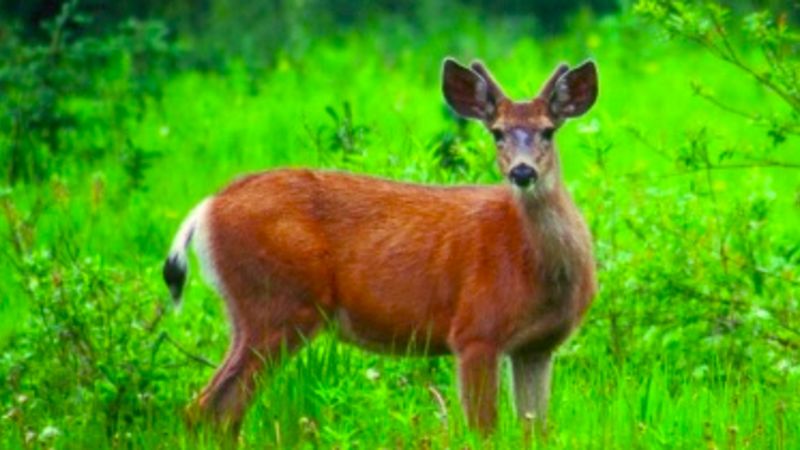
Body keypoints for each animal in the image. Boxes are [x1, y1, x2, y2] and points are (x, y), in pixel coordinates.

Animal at [163, 57, 598, 437]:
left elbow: (536, 430)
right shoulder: (475, 331)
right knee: (207, 407)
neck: (538, 270)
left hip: (253, 312)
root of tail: (207, 207)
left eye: (548, 130)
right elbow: (484, 430)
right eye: (497, 132)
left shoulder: (537, 347)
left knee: (221, 411)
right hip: (276, 303)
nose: (522, 171)